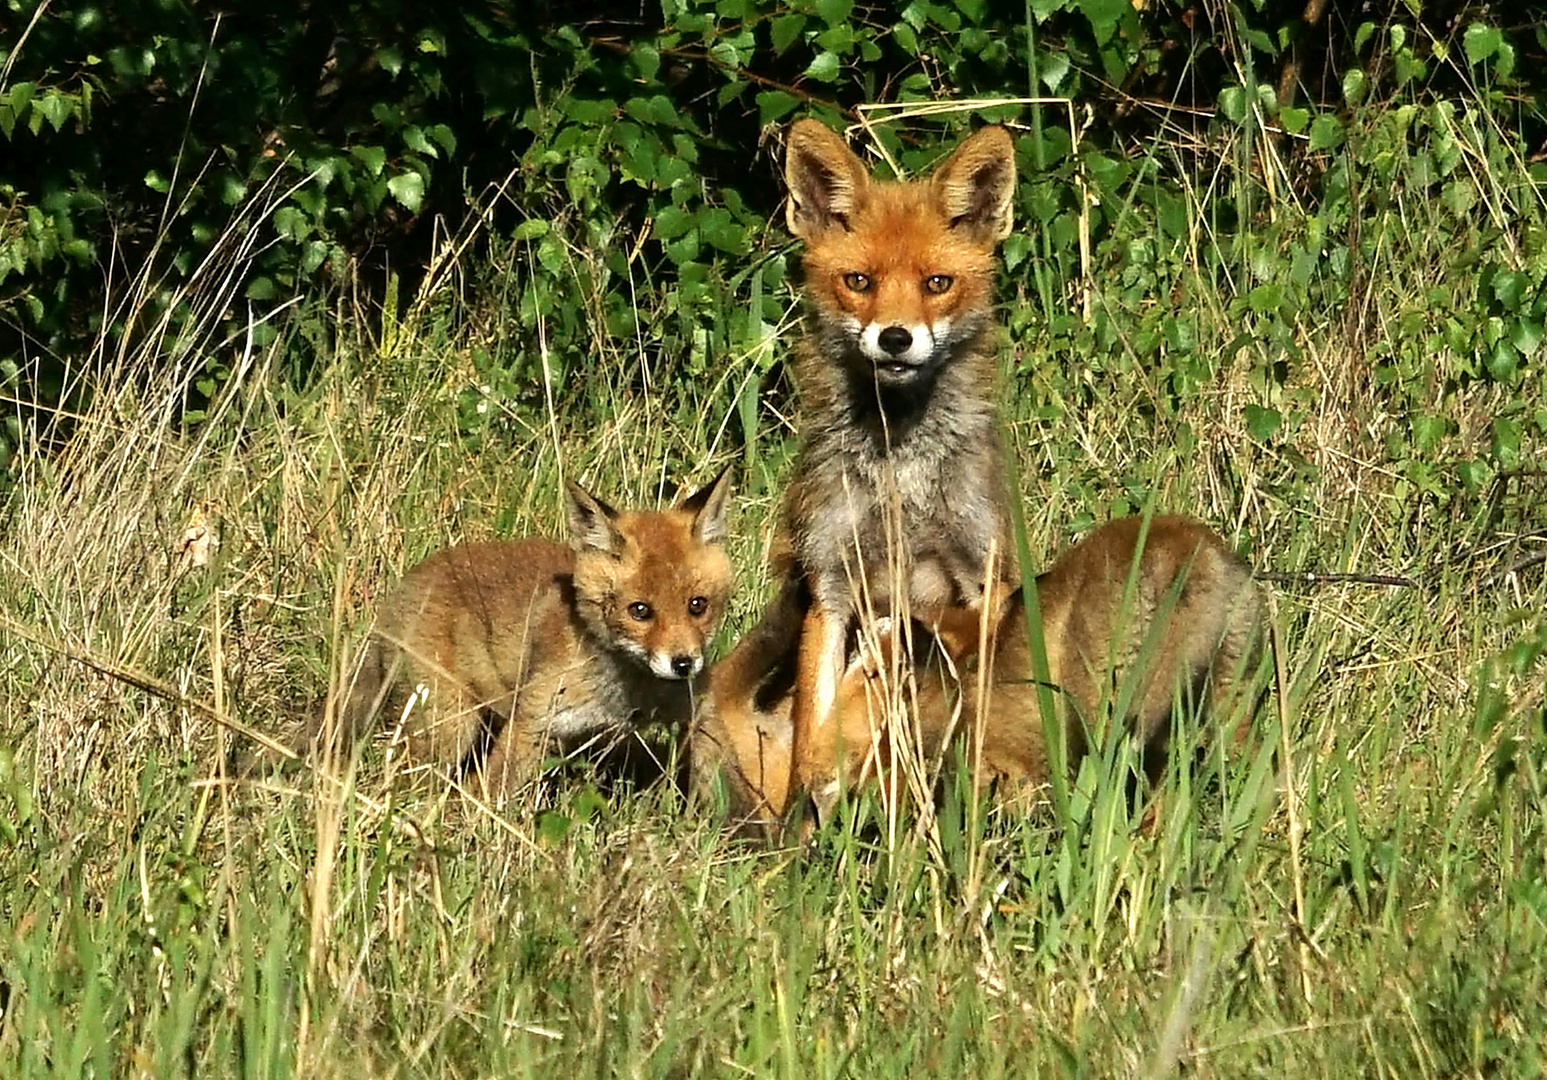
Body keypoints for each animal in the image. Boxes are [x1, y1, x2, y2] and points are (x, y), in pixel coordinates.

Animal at [310, 470, 733, 797]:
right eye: (640, 611)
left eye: (698, 605)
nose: (683, 664)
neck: (629, 692)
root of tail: (403, 589)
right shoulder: (532, 723)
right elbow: (489, 793)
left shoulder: (696, 712)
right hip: (449, 728)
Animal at [695, 515, 1263, 831]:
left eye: (871, 674)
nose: (811, 772)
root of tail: (1188, 550)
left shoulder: (1007, 769)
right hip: (1228, 719)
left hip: (1112, 723)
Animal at [742, 118, 1023, 823]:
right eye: (860, 281)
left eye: (937, 283)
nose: (896, 339)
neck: (903, 481)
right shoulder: (832, 586)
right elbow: (812, 730)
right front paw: (803, 827)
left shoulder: (983, 579)